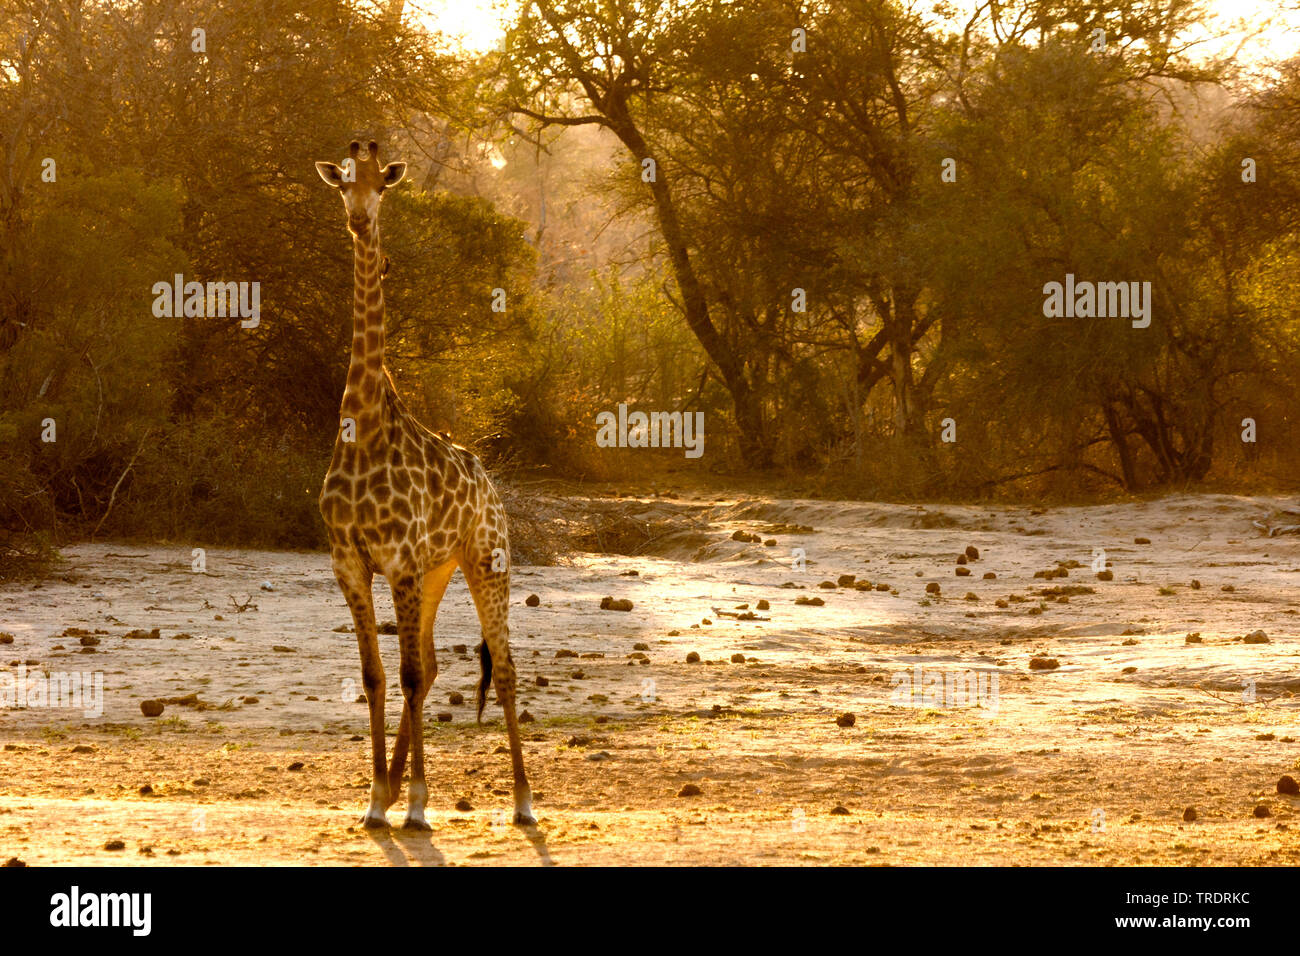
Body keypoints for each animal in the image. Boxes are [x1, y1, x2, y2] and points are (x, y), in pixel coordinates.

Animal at [314, 140, 535, 830]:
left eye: (380, 185)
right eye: (342, 183)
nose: (358, 221)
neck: (362, 427)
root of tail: (490, 482)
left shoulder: (400, 562)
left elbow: (406, 675)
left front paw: (410, 804)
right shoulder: (352, 562)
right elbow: (377, 676)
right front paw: (377, 800)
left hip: (486, 559)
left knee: (504, 667)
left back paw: (523, 803)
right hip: (438, 570)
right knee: (435, 663)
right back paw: (406, 792)